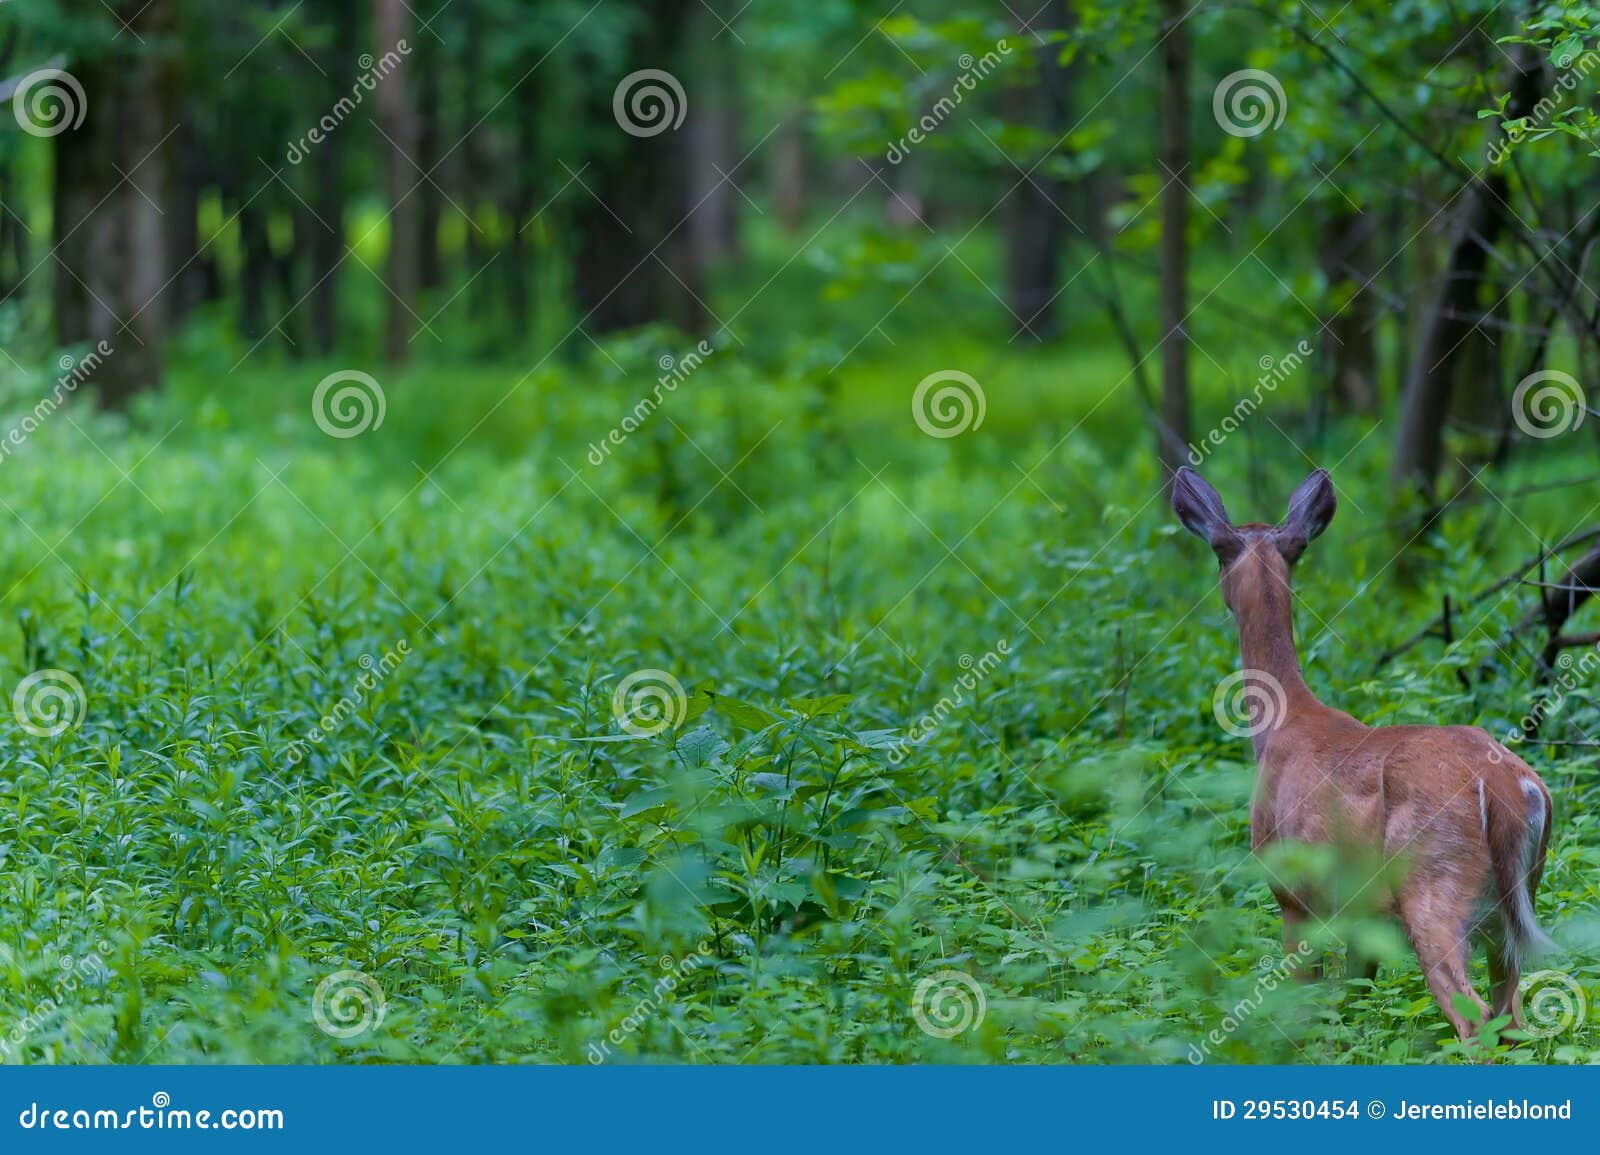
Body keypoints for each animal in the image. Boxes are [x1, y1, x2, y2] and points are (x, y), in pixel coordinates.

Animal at [1170, 466, 1553, 1043]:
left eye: (1217, 552)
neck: (1282, 721)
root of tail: (1511, 788)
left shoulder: (1293, 892)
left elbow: (1305, 1001)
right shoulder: (1362, 914)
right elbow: (1352, 998)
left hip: (1433, 887)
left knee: (1476, 1019)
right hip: (1515, 906)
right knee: (1512, 1018)